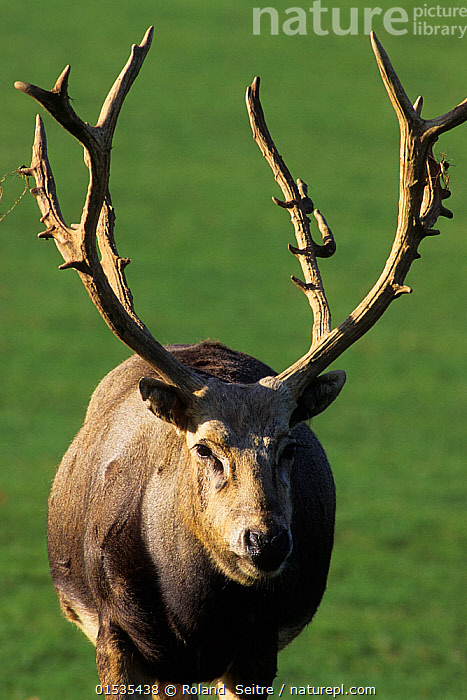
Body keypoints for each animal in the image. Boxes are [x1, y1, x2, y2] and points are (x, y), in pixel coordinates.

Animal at [16, 26, 466, 700]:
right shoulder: (114, 636)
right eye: (205, 448)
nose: (266, 540)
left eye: (289, 445)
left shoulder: (258, 647)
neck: (191, 618)